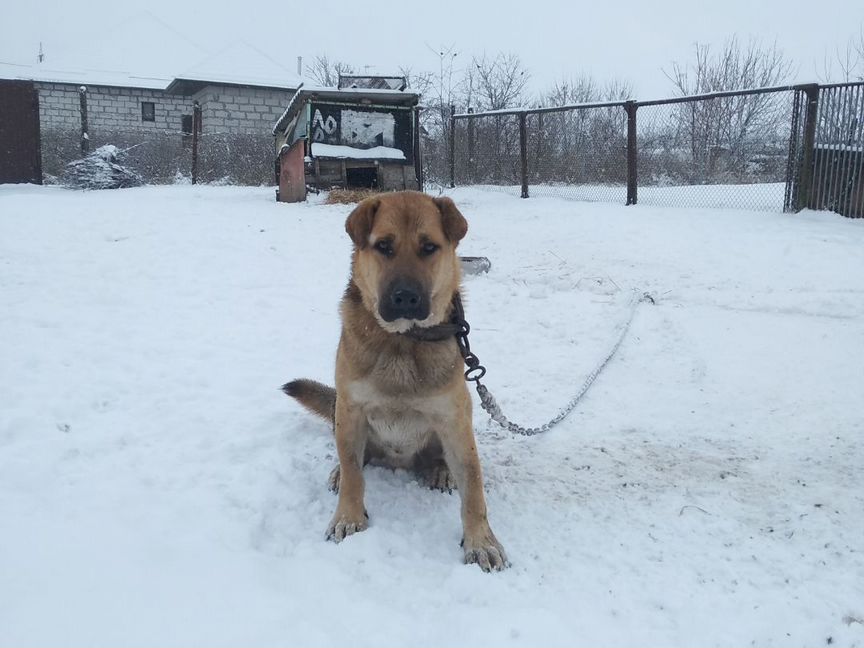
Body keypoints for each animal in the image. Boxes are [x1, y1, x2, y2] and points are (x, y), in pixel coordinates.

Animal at [286, 190, 510, 568]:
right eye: (384, 246)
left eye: (429, 247)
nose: (405, 297)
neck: (403, 341)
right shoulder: (352, 409)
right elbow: (353, 475)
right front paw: (348, 517)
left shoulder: (454, 420)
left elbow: (474, 486)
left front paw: (481, 541)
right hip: (342, 414)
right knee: (352, 459)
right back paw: (339, 471)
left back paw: (441, 470)